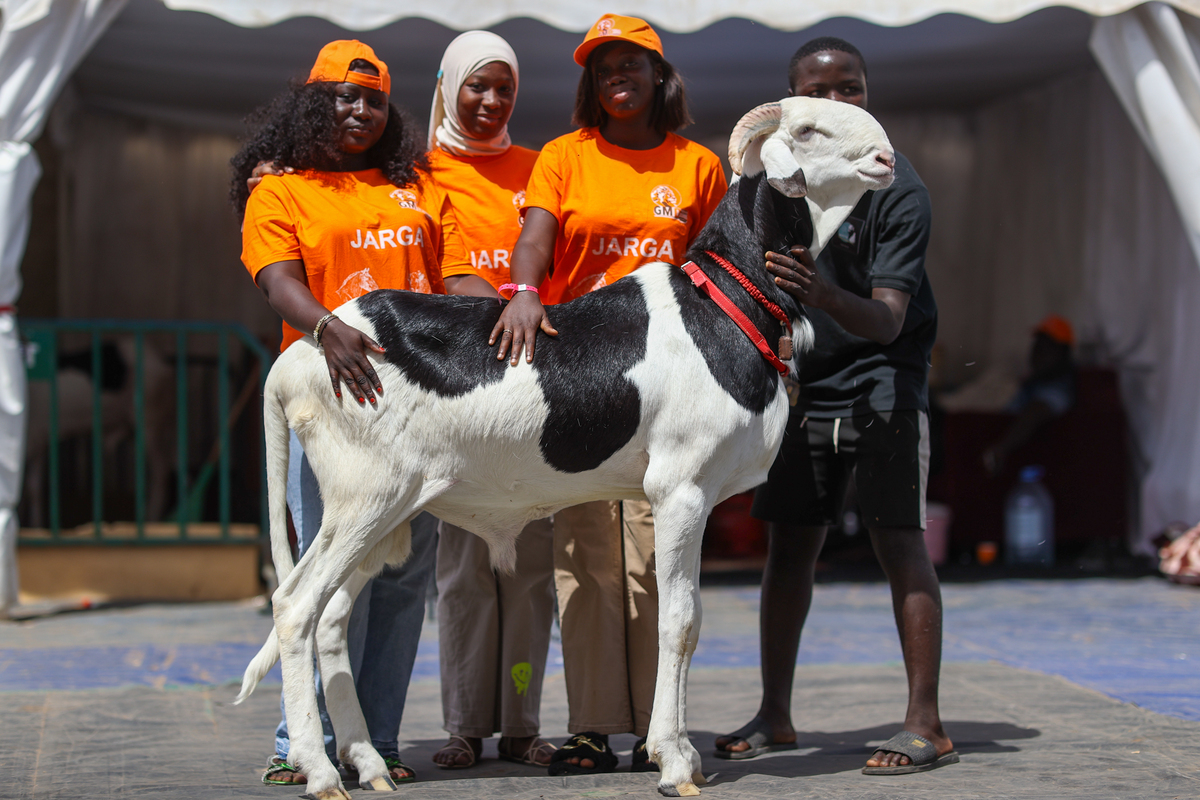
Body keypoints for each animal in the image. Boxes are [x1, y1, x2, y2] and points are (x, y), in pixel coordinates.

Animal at [235, 96, 895, 799]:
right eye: (808, 130)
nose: (886, 157)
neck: (720, 304)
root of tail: (306, 351)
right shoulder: (682, 489)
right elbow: (680, 622)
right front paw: (676, 761)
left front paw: (676, 754)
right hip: (365, 498)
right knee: (296, 607)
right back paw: (320, 771)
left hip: (386, 514)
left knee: (331, 618)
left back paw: (368, 764)